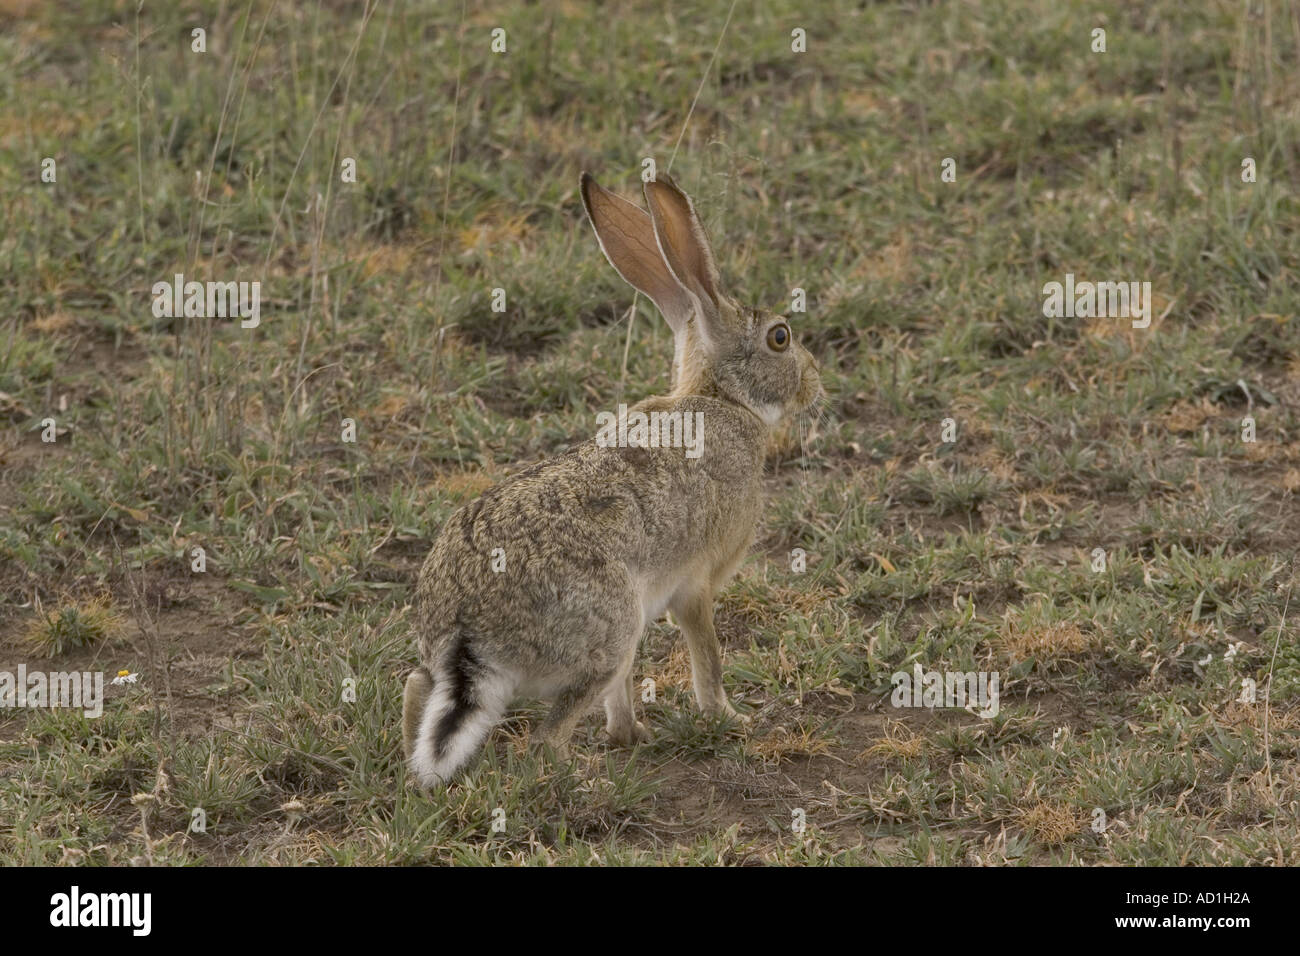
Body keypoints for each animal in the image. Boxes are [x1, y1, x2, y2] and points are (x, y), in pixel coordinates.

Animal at [402, 171, 823, 788]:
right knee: (545, 740)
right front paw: (731, 718)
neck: (722, 398)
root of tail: (467, 630)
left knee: (417, 690)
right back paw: (587, 779)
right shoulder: (693, 587)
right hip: (611, 627)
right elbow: (707, 659)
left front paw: (632, 732)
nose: (815, 381)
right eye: (780, 337)